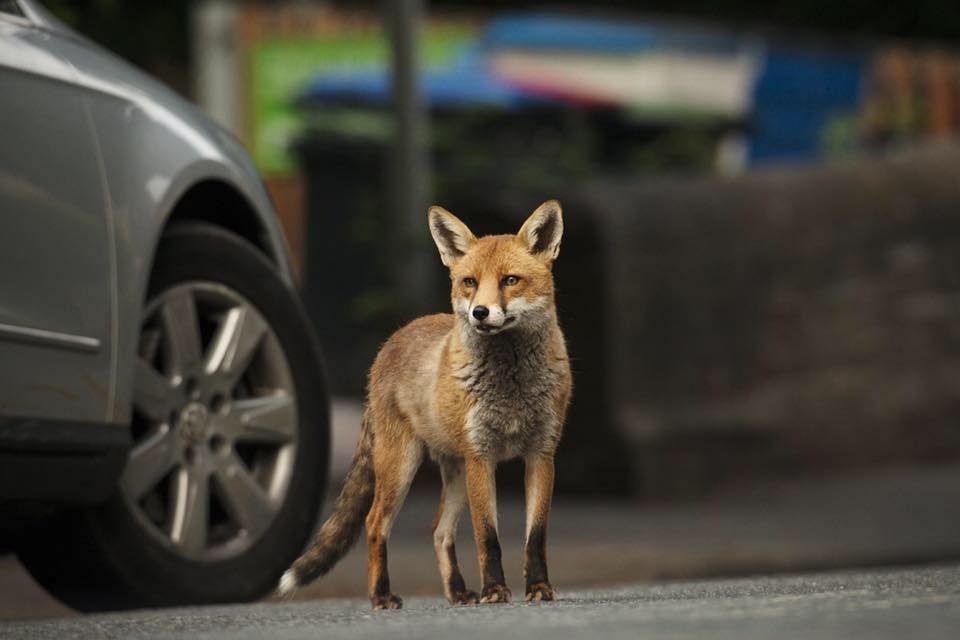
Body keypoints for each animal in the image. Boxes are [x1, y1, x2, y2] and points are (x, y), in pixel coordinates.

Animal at [278, 200, 572, 609]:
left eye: (510, 280)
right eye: (470, 282)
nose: (480, 313)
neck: (511, 384)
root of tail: (393, 339)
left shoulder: (540, 454)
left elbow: (536, 536)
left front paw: (538, 587)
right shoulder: (481, 457)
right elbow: (488, 537)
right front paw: (495, 590)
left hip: (456, 473)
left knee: (439, 530)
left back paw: (457, 591)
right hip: (401, 466)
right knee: (374, 524)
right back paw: (381, 595)